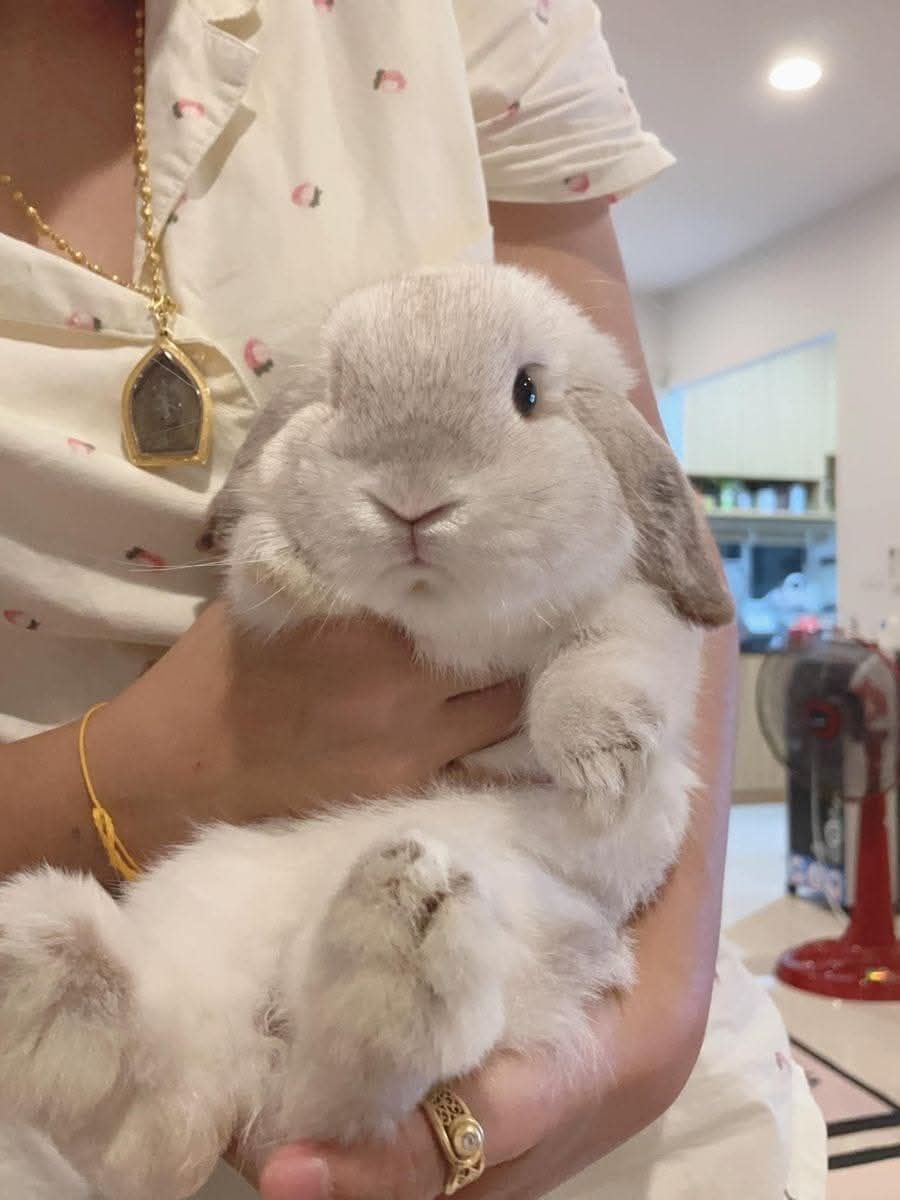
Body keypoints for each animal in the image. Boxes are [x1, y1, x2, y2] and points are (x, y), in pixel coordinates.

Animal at [0, 264, 733, 1200]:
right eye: (341, 392)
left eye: (528, 393)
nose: (412, 502)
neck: (449, 625)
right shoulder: (262, 611)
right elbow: (266, 578)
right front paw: (285, 557)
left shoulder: (635, 623)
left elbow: (601, 665)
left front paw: (602, 764)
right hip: (205, 917)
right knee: (171, 1122)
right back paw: (53, 962)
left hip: (525, 925)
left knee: (350, 1079)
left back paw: (400, 930)